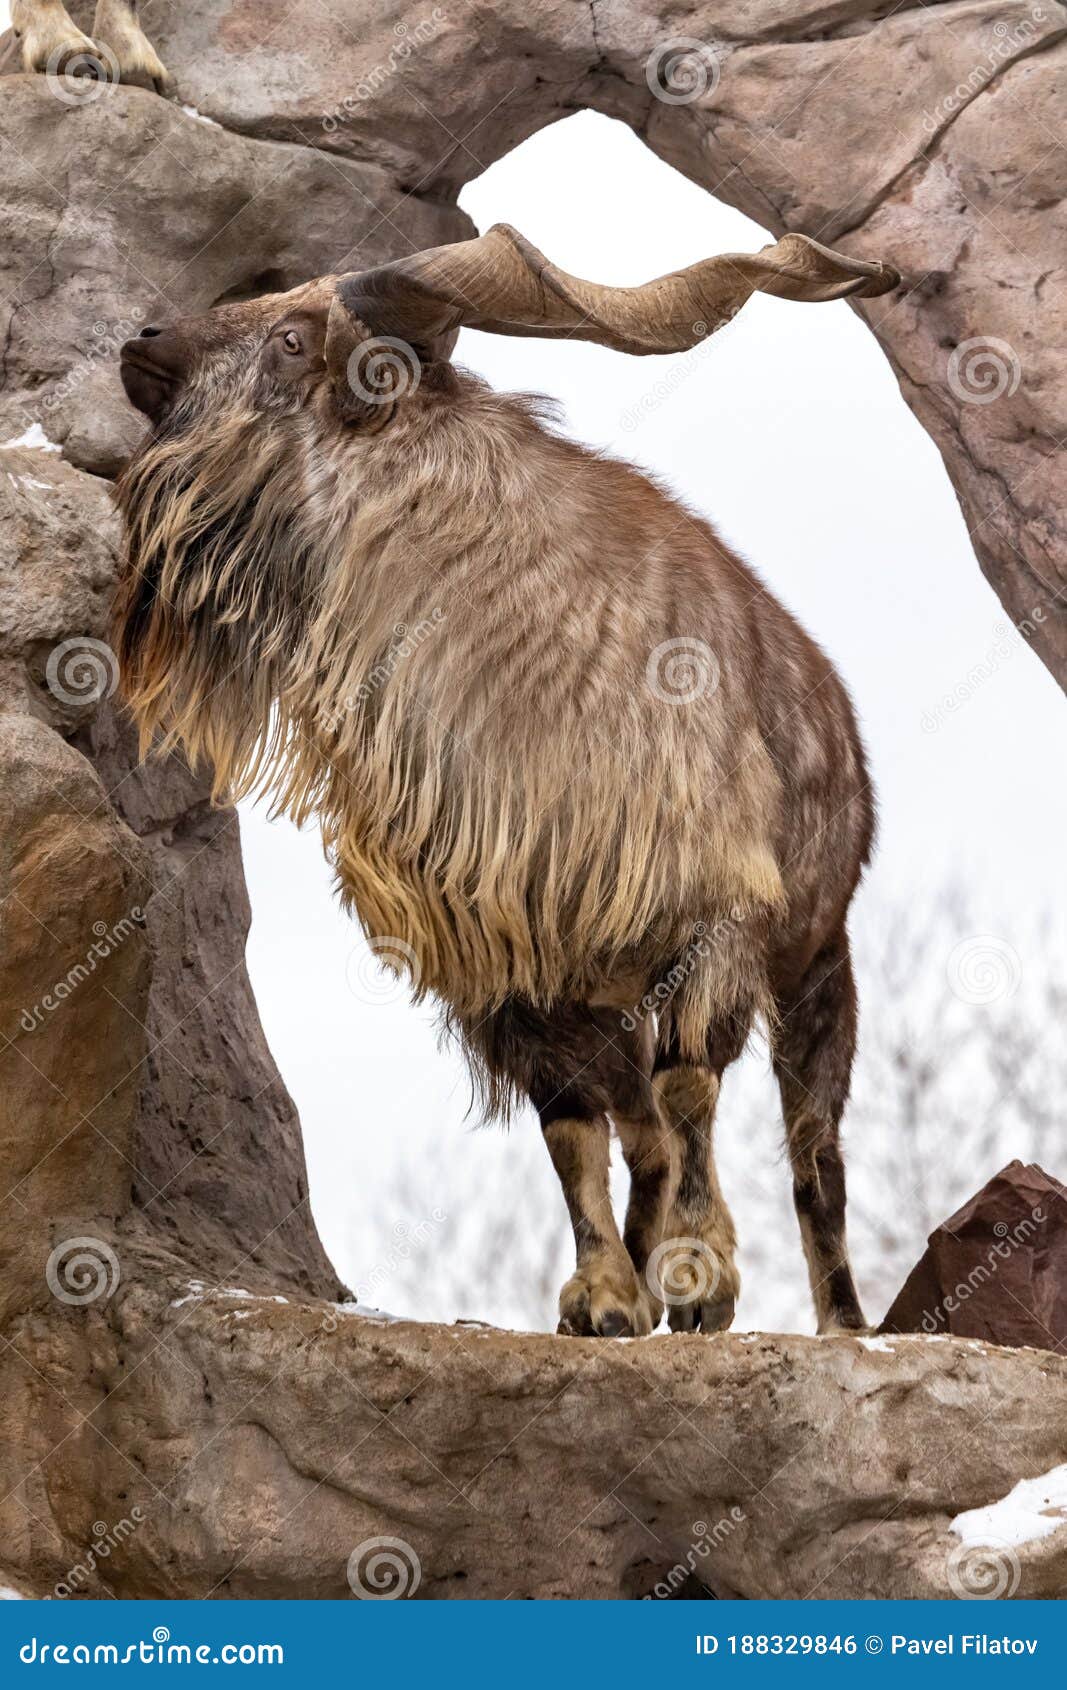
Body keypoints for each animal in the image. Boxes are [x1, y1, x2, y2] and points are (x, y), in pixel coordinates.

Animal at [113, 226, 898, 1339]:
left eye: (293, 336)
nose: (143, 343)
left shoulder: (713, 927)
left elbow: (692, 1087)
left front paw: (699, 1277)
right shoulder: (521, 970)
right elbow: (572, 1131)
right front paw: (605, 1299)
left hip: (819, 961)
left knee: (807, 1150)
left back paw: (839, 1321)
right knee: (641, 1133)